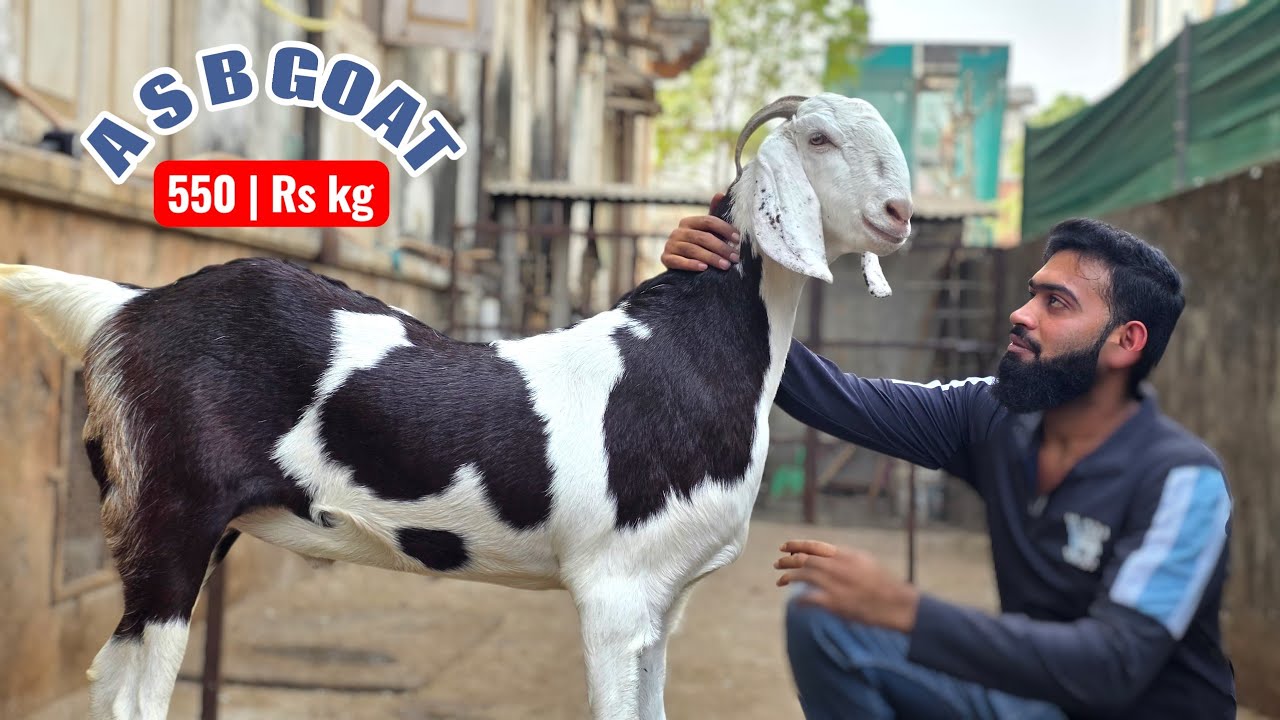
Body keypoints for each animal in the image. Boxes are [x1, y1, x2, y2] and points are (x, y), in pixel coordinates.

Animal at [0, 92, 912, 720]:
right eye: (820, 138)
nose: (900, 214)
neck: (685, 350)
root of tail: (127, 307)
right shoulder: (613, 591)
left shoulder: (664, 599)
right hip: (173, 517)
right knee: (132, 694)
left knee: (110, 677)